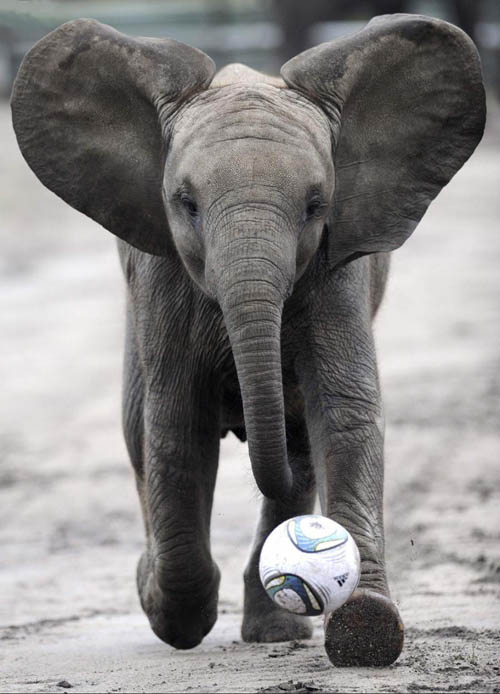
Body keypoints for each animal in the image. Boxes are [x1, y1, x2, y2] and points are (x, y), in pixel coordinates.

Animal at [11, 13, 485, 667]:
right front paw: (171, 611)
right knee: (139, 432)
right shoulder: (165, 280)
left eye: (315, 206)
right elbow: (175, 429)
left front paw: (365, 631)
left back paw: (275, 633)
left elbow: (344, 413)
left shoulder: (337, 268)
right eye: (186, 205)